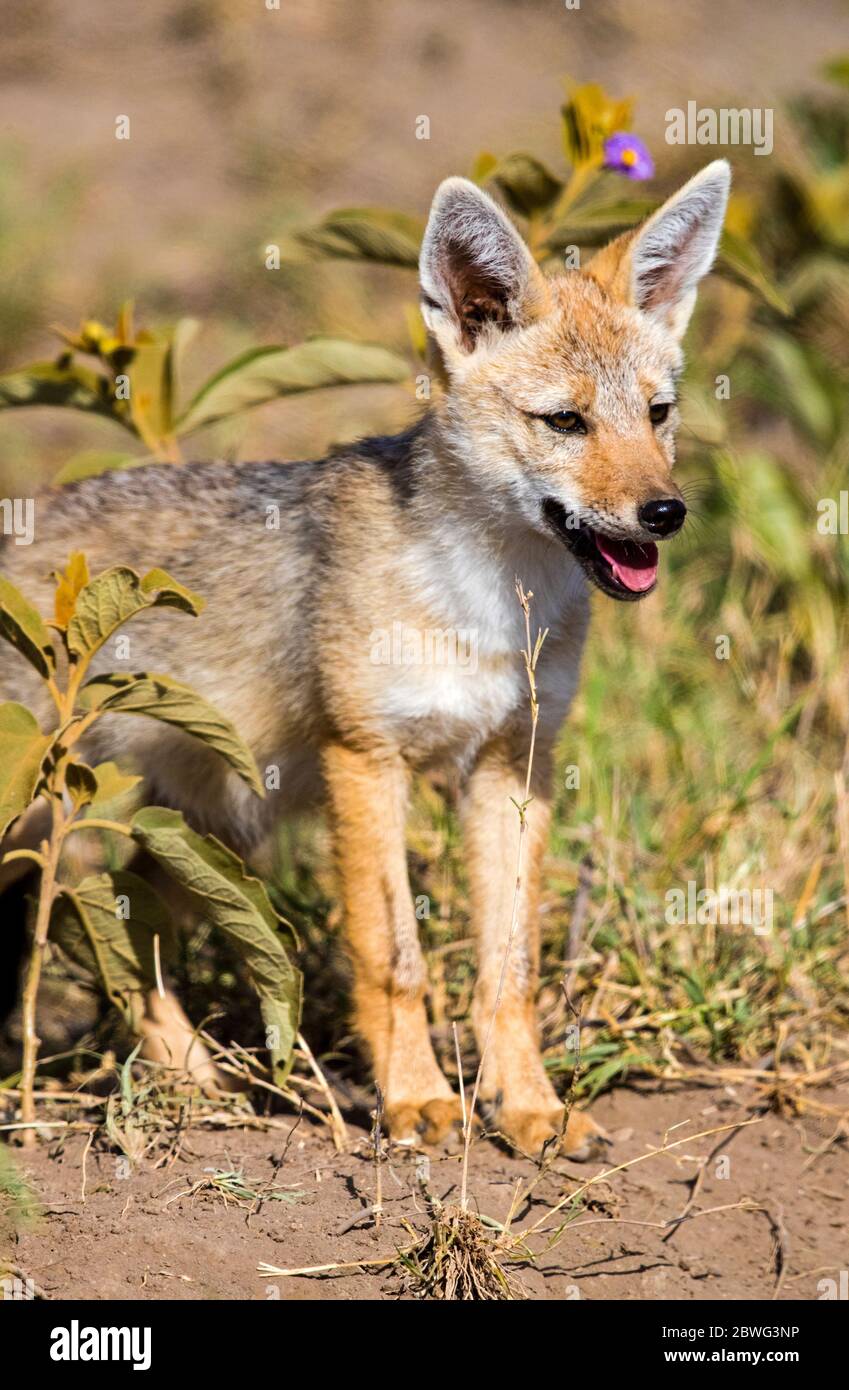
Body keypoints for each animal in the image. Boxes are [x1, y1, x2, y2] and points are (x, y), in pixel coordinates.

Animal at [0, 159, 730, 1159]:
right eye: (565, 422)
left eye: (657, 415)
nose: (665, 513)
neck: (485, 603)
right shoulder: (366, 759)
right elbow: (395, 960)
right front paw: (415, 1100)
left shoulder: (512, 766)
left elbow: (510, 971)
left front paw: (527, 1108)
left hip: (198, 835)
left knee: (125, 942)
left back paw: (195, 1084)